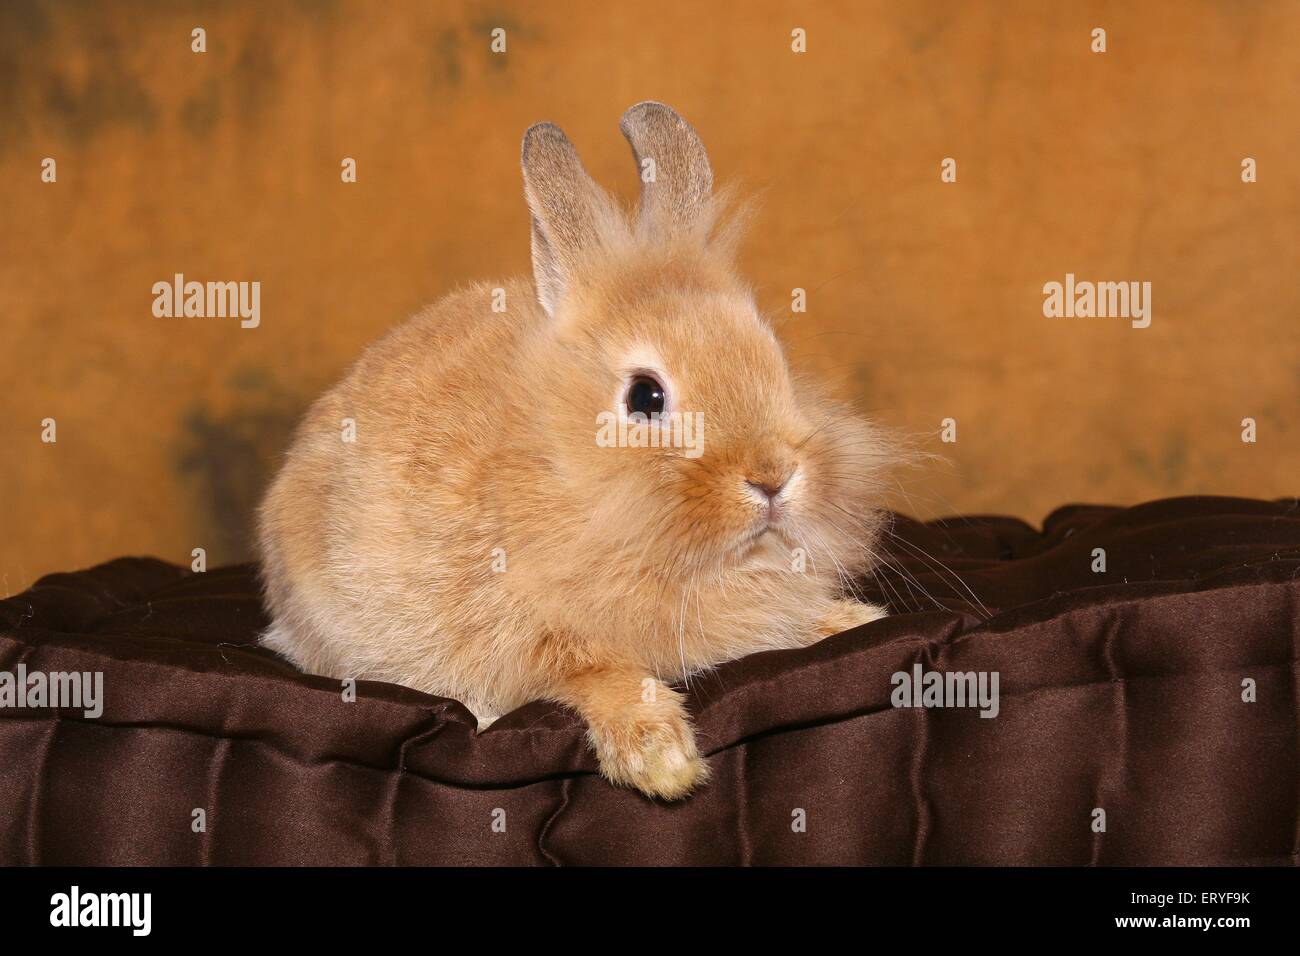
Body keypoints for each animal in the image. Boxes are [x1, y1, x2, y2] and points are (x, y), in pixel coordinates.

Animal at [257, 102, 891, 800]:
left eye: (776, 361)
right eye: (646, 396)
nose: (774, 478)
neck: (567, 475)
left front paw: (851, 620)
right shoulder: (532, 633)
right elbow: (592, 672)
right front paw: (659, 758)